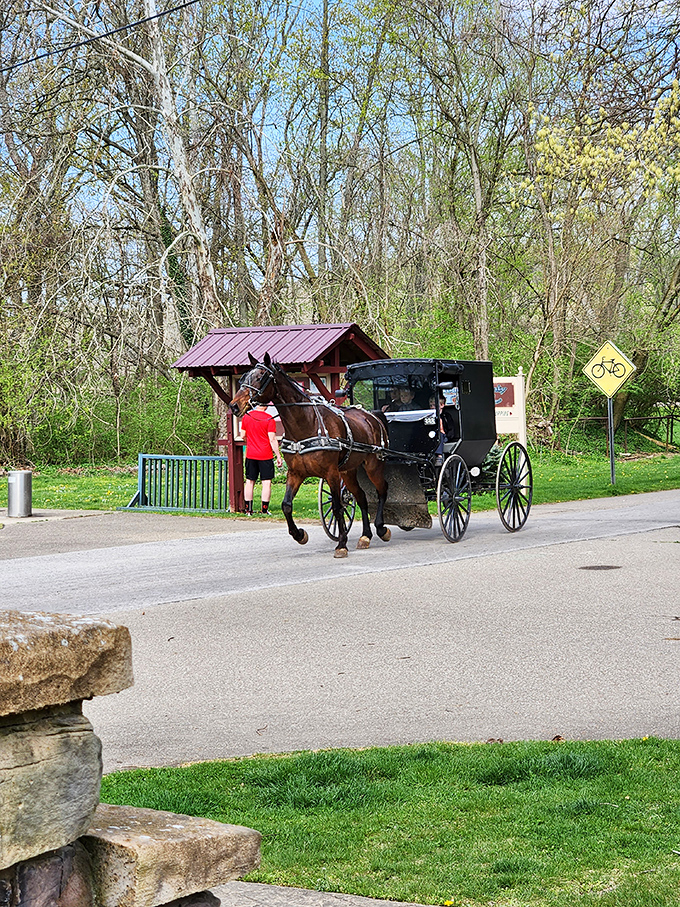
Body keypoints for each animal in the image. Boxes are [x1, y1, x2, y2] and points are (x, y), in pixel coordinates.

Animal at [229, 353, 391, 558]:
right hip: (348, 471)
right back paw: (366, 536)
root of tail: (373, 416)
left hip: (373, 465)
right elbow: (286, 505)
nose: (234, 406)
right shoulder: (296, 473)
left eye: (260, 377)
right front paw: (299, 534)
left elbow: (337, 507)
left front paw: (341, 544)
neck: (306, 424)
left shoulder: (331, 473)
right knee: (361, 497)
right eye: (242, 378)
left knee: (382, 490)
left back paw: (381, 528)